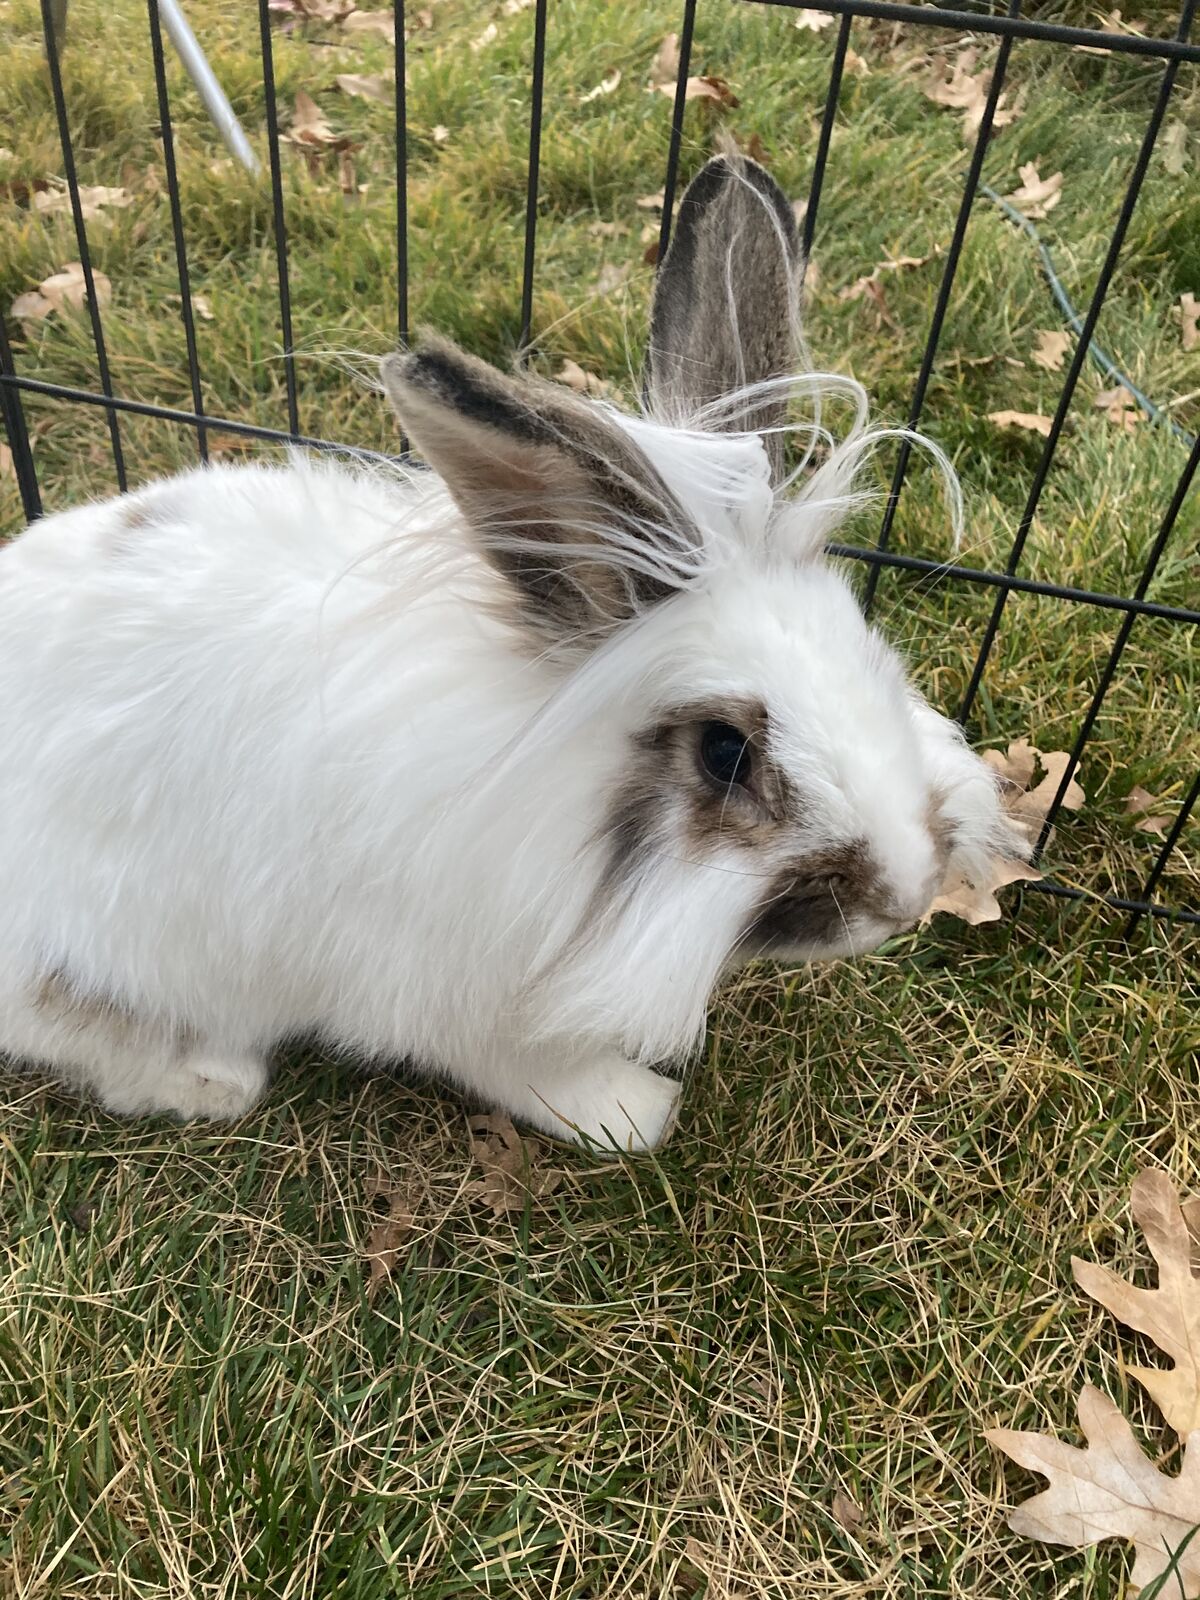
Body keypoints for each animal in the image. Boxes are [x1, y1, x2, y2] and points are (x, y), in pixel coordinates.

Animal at [0, 152, 1026, 1150]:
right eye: (725, 752)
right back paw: (210, 1079)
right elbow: (532, 1070)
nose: (905, 895)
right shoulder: (453, 988)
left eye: (872, 657)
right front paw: (636, 1113)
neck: (552, 786)